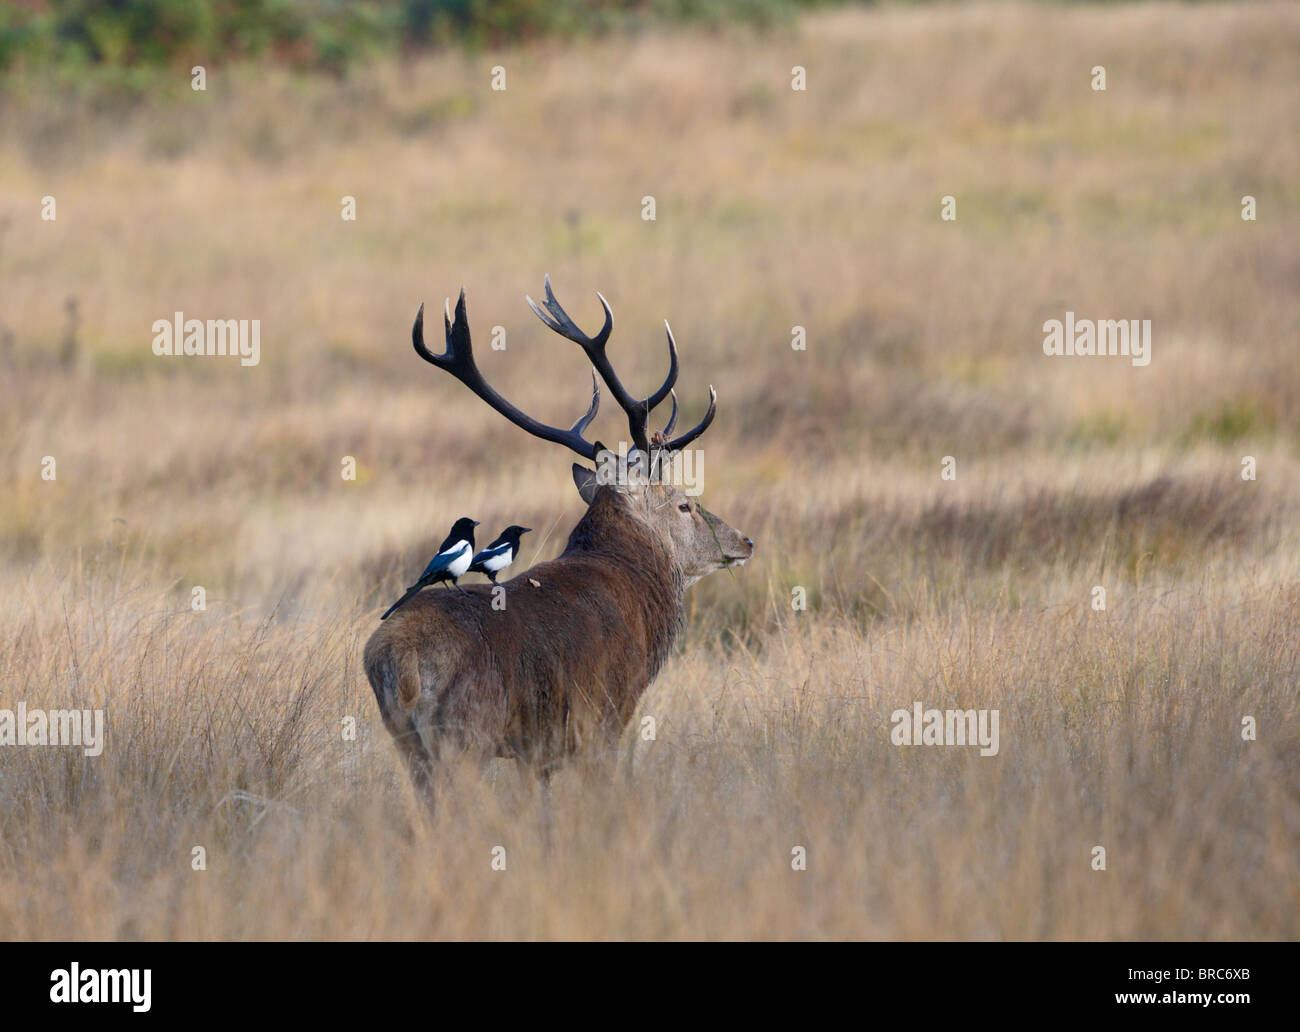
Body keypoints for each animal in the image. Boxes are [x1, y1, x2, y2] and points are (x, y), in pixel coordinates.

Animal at [363, 277, 754, 815]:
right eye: (683, 504)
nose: (744, 541)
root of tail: (392, 659)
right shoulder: (604, 712)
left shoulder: (537, 748)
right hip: (465, 735)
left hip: (408, 745)